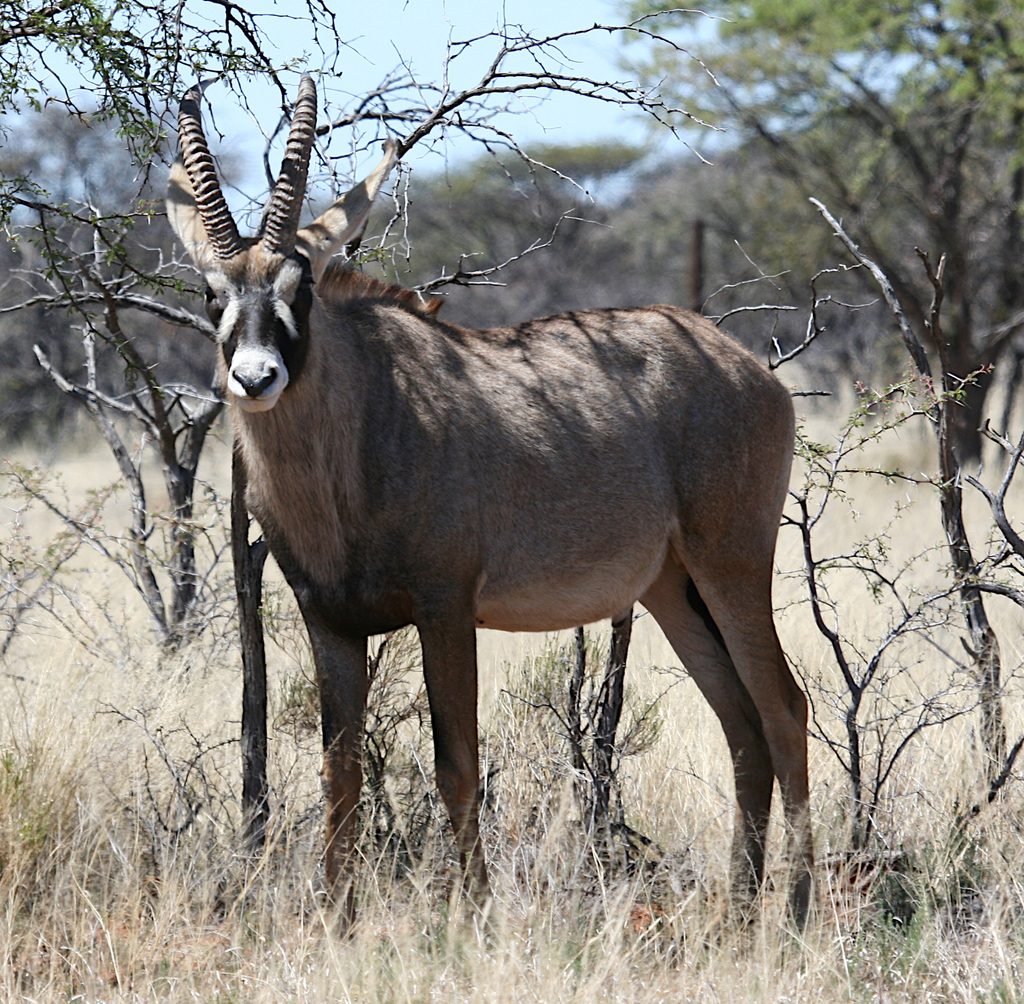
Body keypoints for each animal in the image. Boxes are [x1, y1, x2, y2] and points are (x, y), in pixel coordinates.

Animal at [167, 76, 812, 927]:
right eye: (212, 293)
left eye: (299, 286)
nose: (255, 378)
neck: (366, 421)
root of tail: (751, 371)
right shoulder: (327, 620)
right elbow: (340, 771)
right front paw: (336, 919)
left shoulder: (445, 606)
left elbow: (457, 763)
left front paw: (470, 915)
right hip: (674, 588)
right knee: (740, 723)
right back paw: (737, 912)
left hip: (732, 563)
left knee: (782, 709)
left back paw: (796, 912)